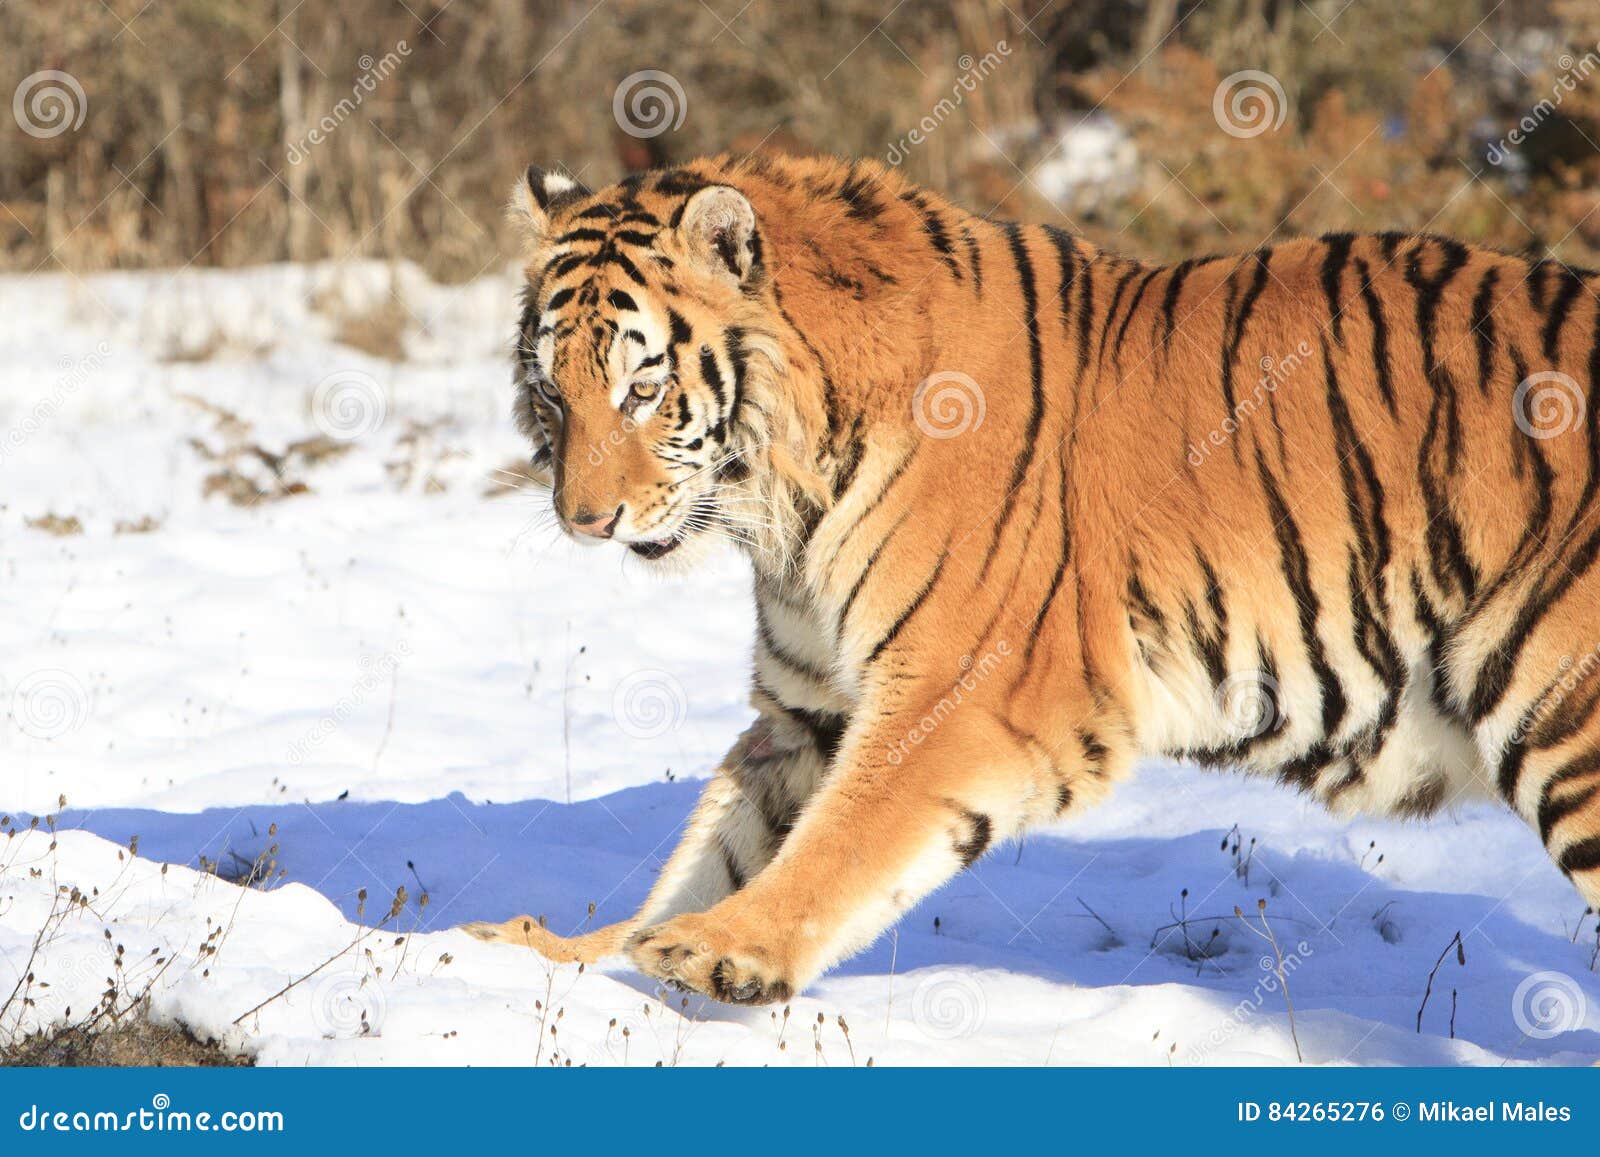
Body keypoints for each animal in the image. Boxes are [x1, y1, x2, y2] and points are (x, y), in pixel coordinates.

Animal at [462, 151, 1600, 1007]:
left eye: (642, 388)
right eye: (551, 392)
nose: (584, 520)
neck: (783, 500)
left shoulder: (966, 689)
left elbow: (843, 838)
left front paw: (715, 951)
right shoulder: (809, 711)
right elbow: (716, 845)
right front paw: (565, 953)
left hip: (1568, 730)